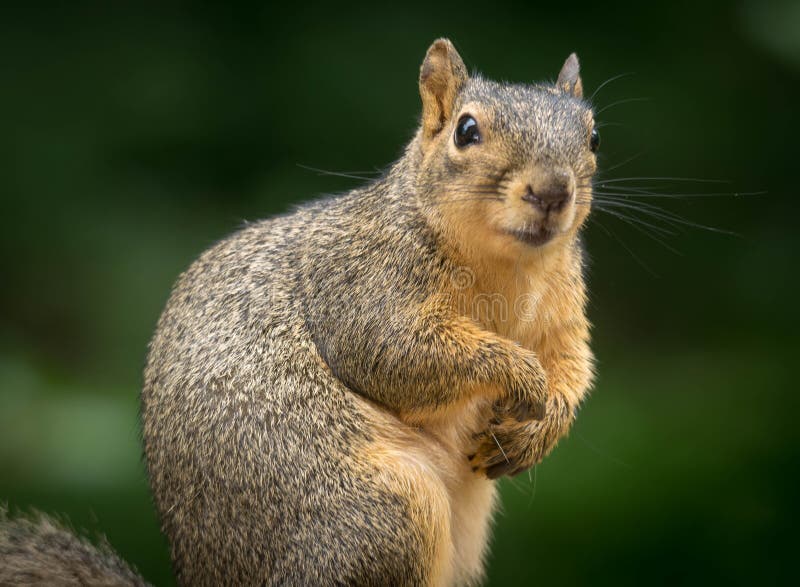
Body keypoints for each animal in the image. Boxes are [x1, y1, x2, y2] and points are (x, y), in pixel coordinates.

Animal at [0, 38, 596, 586]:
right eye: (466, 131)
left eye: (592, 136)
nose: (552, 191)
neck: (510, 268)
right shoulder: (360, 285)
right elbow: (400, 352)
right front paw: (519, 372)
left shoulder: (562, 312)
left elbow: (571, 366)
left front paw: (545, 423)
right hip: (383, 517)